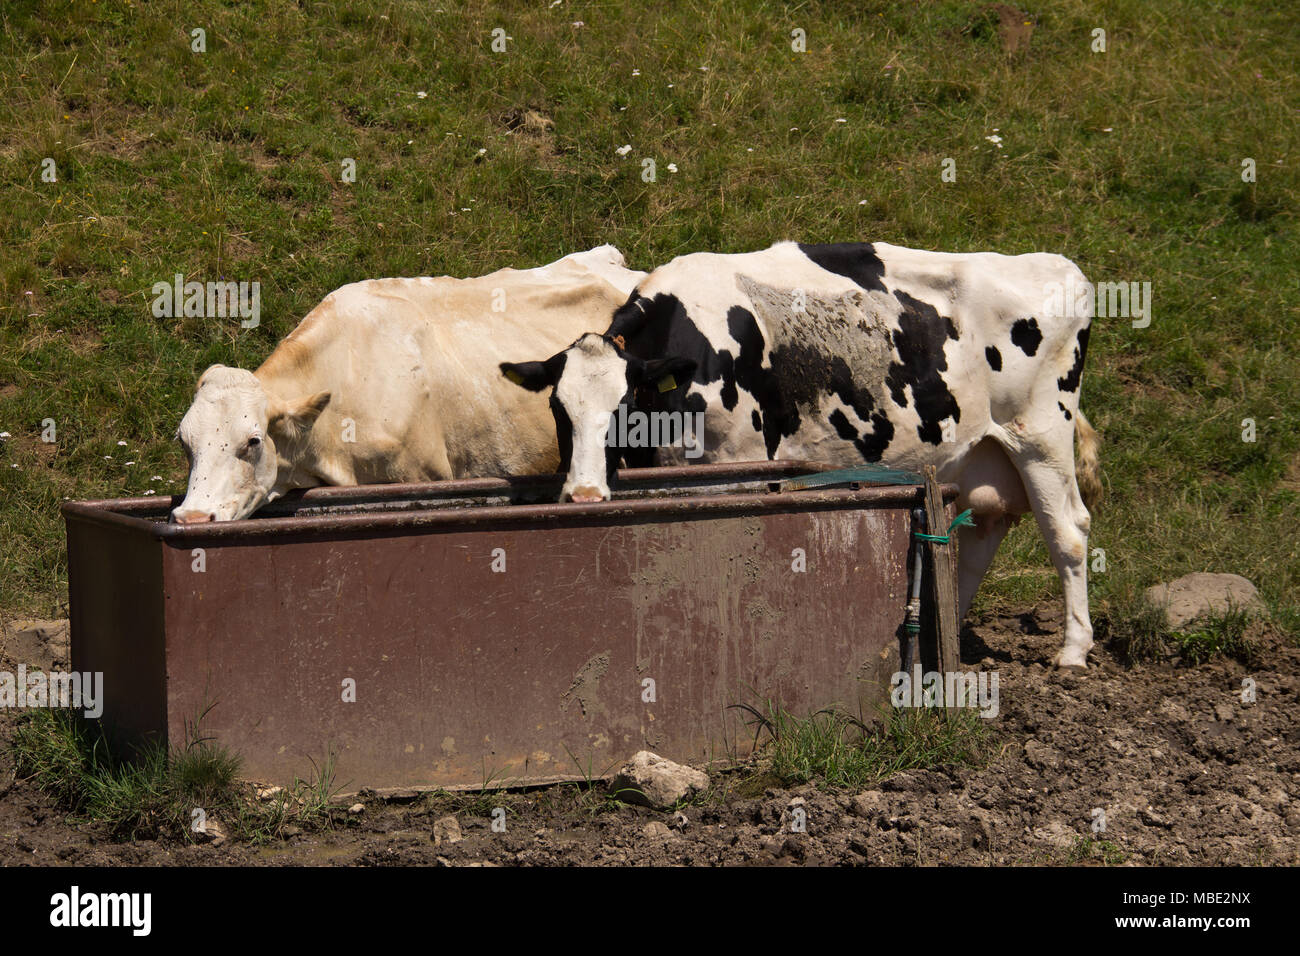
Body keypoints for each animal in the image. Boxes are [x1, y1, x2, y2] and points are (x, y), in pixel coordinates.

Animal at [500, 241, 1102, 668]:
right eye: (558, 409)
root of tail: (1056, 266)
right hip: (986, 454)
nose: (583, 495)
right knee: (983, 534)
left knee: (1068, 530)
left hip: (1041, 435)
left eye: (625, 408)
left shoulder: (735, 471)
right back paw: (945, 635)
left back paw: (1073, 650)